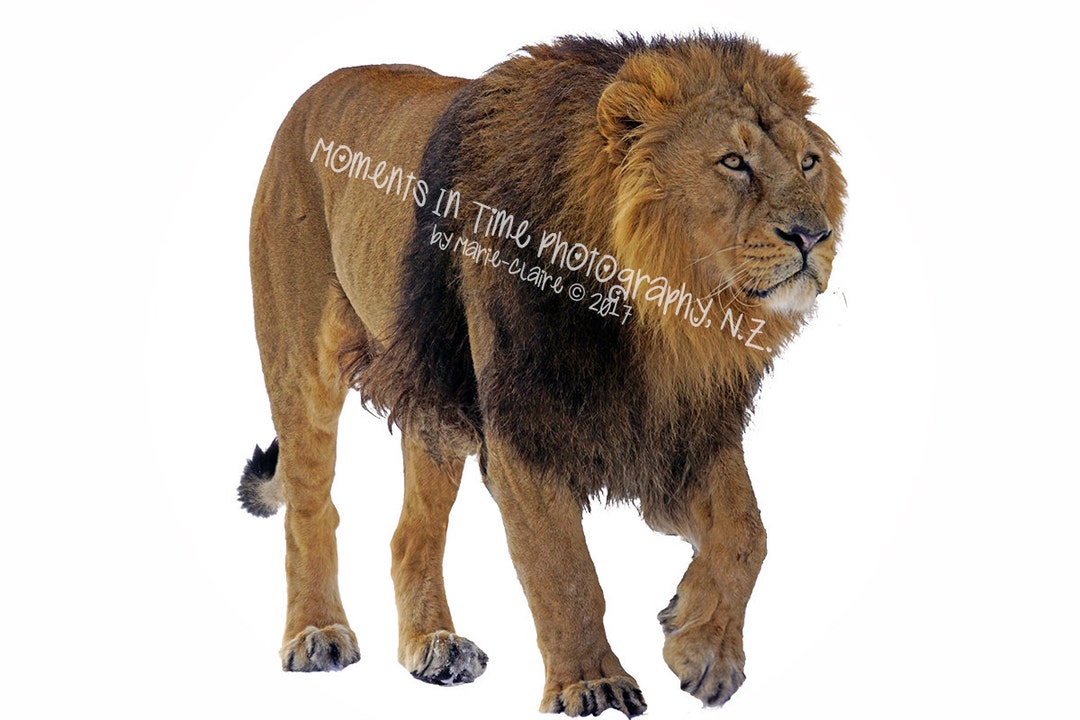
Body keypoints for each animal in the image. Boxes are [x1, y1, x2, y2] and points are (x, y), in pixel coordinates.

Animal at [238, 33, 845, 717]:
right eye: (734, 162)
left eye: (809, 163)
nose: (814, 234)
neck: (660, 316)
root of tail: (310, 95)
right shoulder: (522, 426)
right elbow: (564, 568)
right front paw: (593, 683)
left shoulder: (683, 427)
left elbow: (747, 532)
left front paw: (702, 645)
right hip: (300, 366)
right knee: (310, 509)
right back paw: (317, 634)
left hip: (434, 407)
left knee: (410, 537)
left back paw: (436, 646)